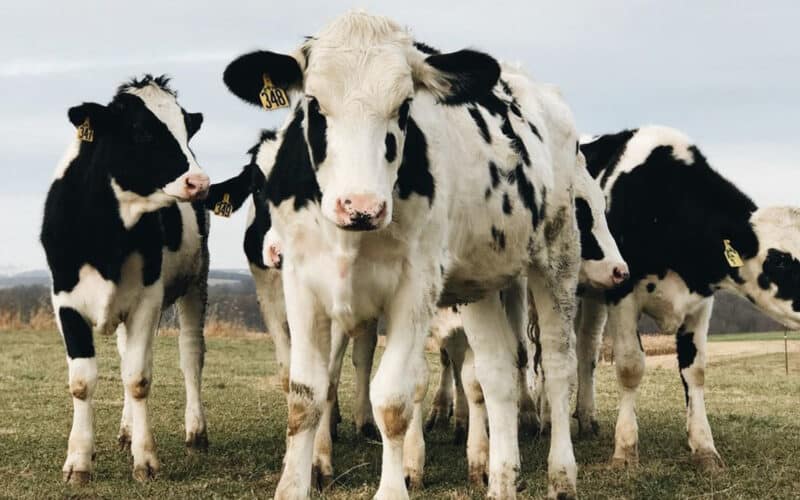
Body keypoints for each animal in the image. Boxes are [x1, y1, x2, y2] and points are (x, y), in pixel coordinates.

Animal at [40, 75, 211, 483]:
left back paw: (196, 431)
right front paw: (78, 461)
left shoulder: (146, 299)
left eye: (187, 130)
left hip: (196, 281)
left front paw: (145, 460)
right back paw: (126, 430)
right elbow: (82, 381)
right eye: (141, 131)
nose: (199, 182)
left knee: (190, 354)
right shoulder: (64, 300)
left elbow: (138, 378)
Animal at [222, 11, 585, 499]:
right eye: (314, 104)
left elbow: (393, 400)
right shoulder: (300, 283)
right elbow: (305, 396)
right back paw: (501, 479)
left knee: (561, 365)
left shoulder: (415, 288)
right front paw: (295, 483)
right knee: (497, 374)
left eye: (404, 107)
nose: (360, 206)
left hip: (557, 254)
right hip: (481, 281)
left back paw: (562, 475)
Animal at [575, 125, 800, 470]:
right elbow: (630, 366)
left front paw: (704, 446)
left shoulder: (700, 302)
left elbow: (695, 371)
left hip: (592, 296)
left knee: (586, 348)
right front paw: (625, 449)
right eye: (780, 260)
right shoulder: (621, 294)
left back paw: (586, 419)